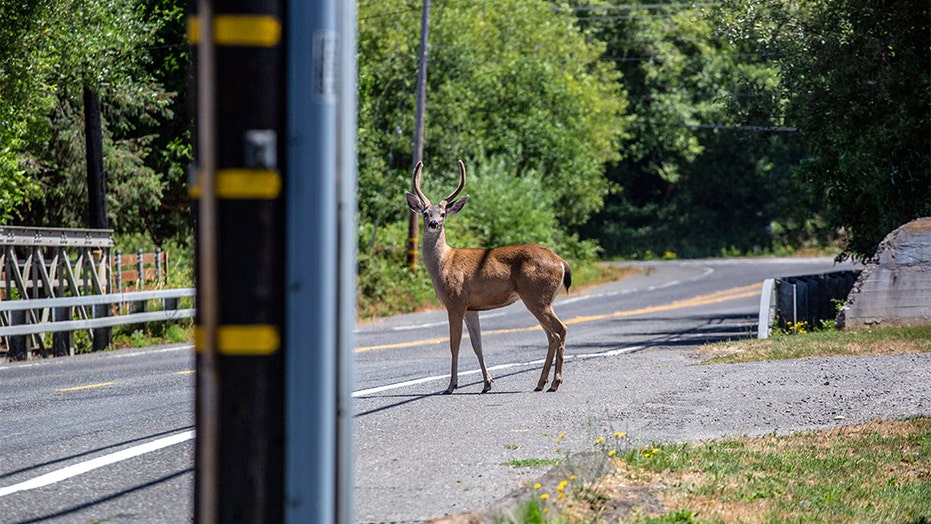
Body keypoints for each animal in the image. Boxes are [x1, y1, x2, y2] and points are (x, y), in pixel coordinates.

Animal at [405, 160, 571, 394]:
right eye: (426, 213)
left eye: (443, 213)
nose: (434, 224)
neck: (444, 263)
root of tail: (561, 263)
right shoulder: (471, 308)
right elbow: (477, 345)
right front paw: (487, 383)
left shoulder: (455, 301)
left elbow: (454, 344)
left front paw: (451, 385)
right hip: (543, 299)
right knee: (551, 335)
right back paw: (541, 383)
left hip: (536, 296)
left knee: (559, 330)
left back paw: (555, 382)